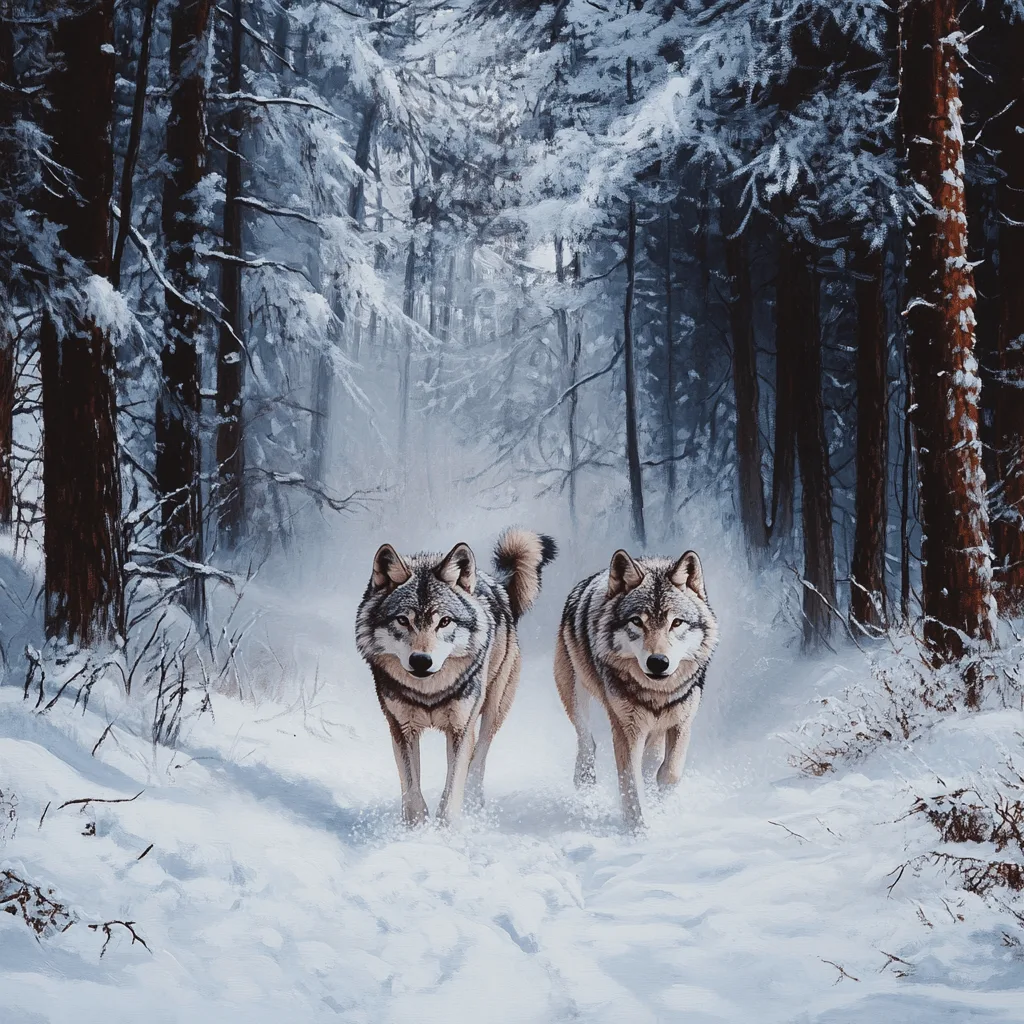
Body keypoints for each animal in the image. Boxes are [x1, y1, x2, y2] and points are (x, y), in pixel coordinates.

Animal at [356, 529, 556, 825]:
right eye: (403, 620)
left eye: (445, 621)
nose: (421, 660)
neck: (428, 692)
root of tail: (494, 583)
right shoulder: (401, 728)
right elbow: (412, 790)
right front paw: (417, 829)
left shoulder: (461, 728)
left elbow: (452, 790)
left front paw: (446, 829)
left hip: (493, 710)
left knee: (479, 758)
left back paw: (474, 801)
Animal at [554, 549, 718, 830]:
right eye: (636, 622)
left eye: (676, 623)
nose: (658, 662)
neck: (657, 694)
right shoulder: (626, 729)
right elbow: (631, 783)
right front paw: (638, 831)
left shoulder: (682, 721)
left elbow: (670, 772)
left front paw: (661, 807)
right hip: (575, 692)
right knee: (586, 739)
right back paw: (585, 779)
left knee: (651, 759)